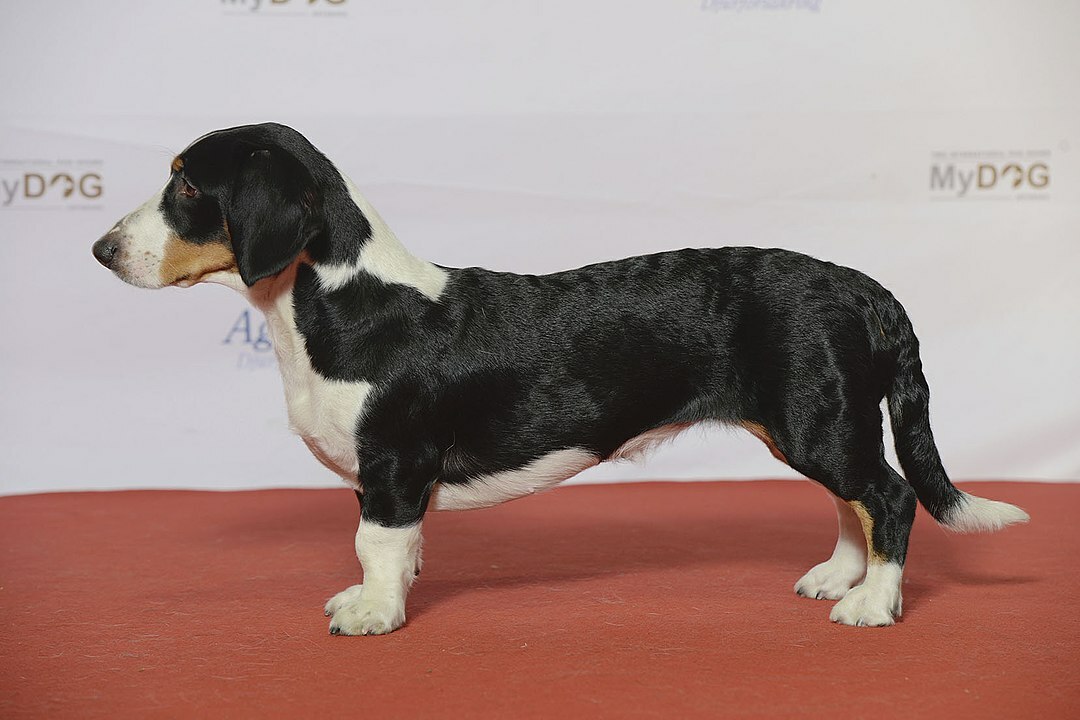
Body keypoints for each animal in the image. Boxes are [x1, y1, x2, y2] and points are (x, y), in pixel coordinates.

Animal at [92, 124, 1028, 634]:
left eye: (186, 184)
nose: (100, 250)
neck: (344, 299)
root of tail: (861, 286)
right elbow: (396, 552)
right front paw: (379, 595)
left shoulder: (392, 466)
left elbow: (377, 543)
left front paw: (374, 614)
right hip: (814, 422)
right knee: (854, 500)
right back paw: (843, 577)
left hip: (818, 419)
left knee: (889, 496)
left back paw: (873, 604)